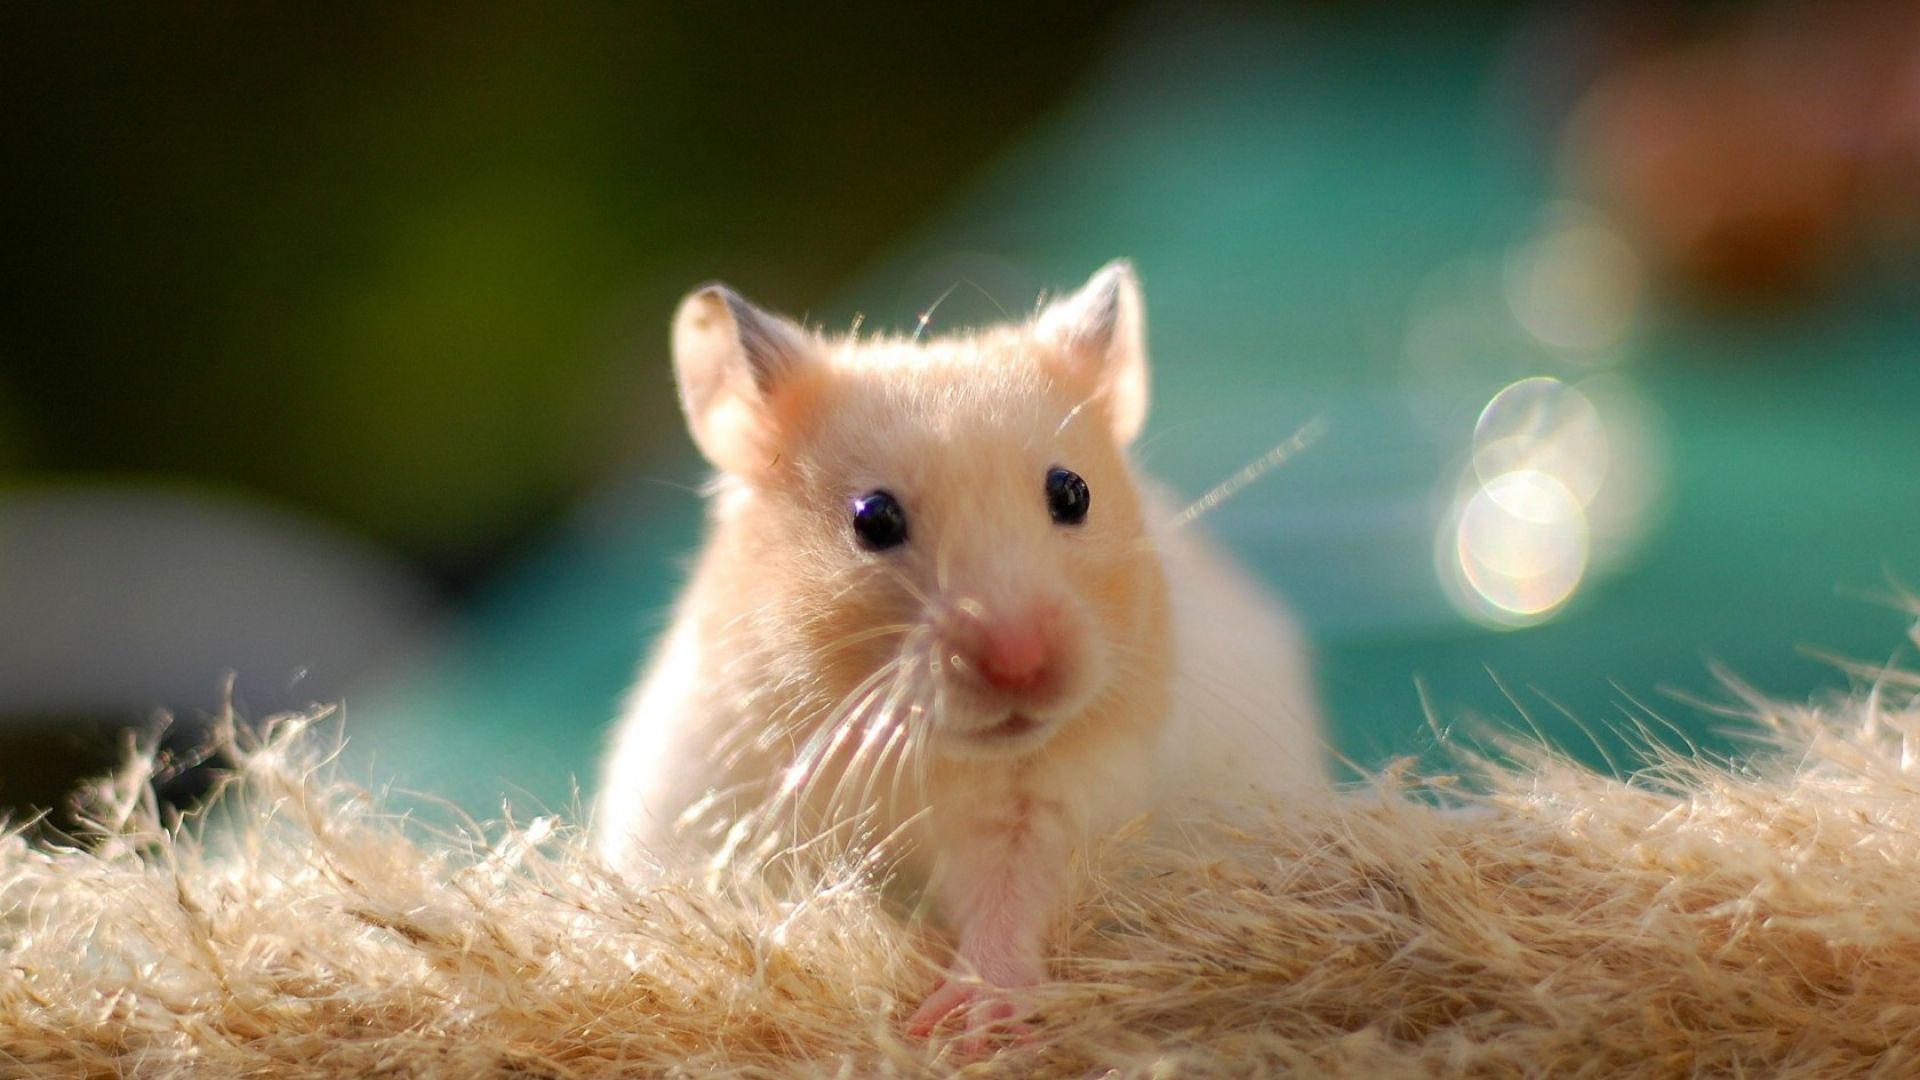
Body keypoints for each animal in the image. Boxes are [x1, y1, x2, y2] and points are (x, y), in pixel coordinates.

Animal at [594, 260, 1324, 1037]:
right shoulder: (716, 801)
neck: (916, 756)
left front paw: (967, 1025)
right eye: (873, 519)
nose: (1020, 665)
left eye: (1073, 493)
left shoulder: (1061, 797)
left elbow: (1012, 895)